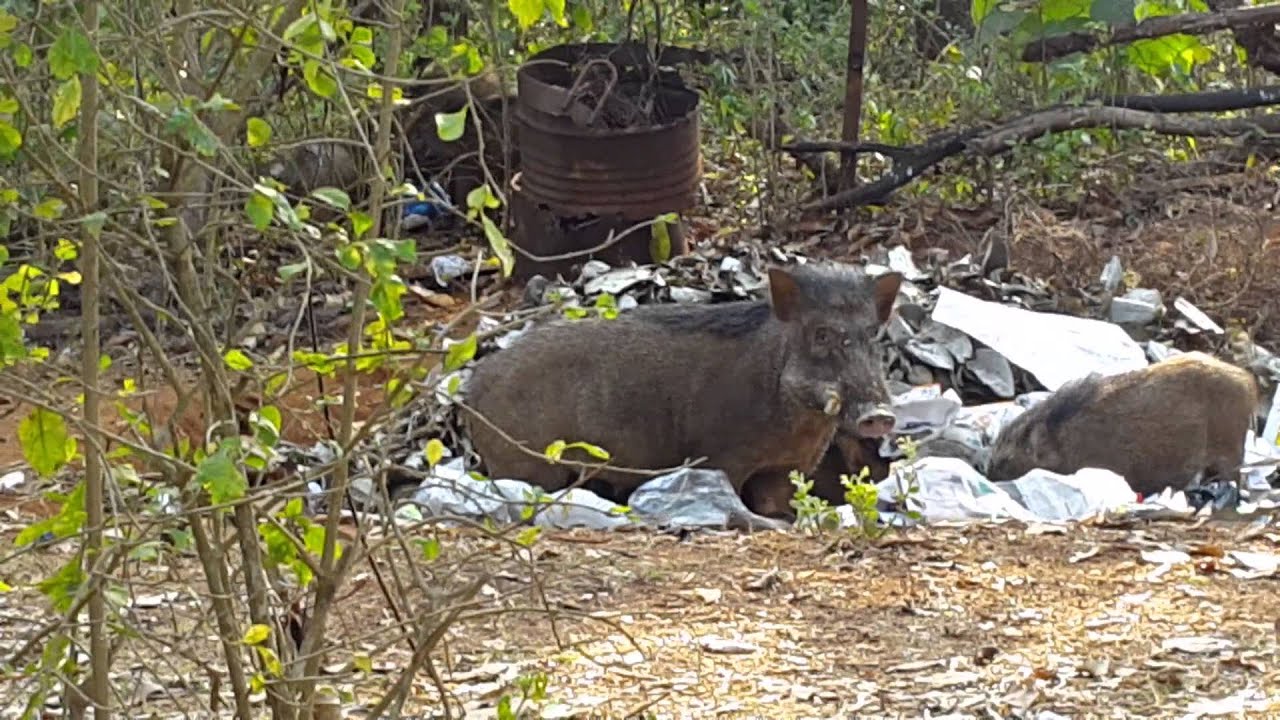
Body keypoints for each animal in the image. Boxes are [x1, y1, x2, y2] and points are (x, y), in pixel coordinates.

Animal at [462, 263, 903, 520]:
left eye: (873, 334)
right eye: (821, 334)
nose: (879, 416)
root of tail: (471, 389)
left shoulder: (786, 468)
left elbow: (774, 506)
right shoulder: (721, 458)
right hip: (524, 464)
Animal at [985, 352, 1258, 497]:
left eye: (1007, 460)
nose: (988, 474)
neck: (1058, 441)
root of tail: (1247, 382)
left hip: (1230, 451)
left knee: (1236, 479)